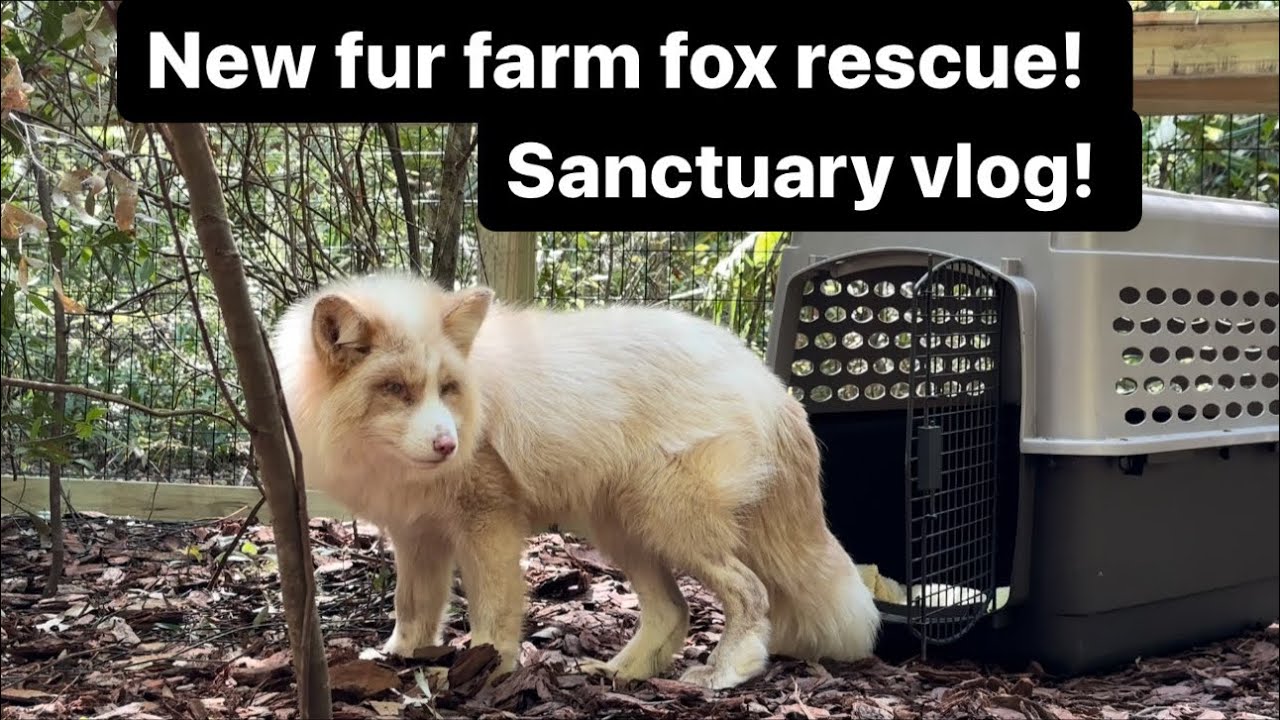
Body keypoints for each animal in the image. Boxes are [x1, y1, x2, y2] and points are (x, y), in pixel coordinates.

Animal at [269, 270, 882, 690]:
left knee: (750, 593)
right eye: (395, 389)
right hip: (625, 534)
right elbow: (413, 607)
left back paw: (724, 672)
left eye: (446, 388)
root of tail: (765, 378)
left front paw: (482, 672)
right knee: (675, 611)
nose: (447, 445)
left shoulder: (487, 525)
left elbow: (494, 613)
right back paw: (622, 674)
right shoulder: (416, 534)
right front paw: (401, 657)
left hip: (673, 527)